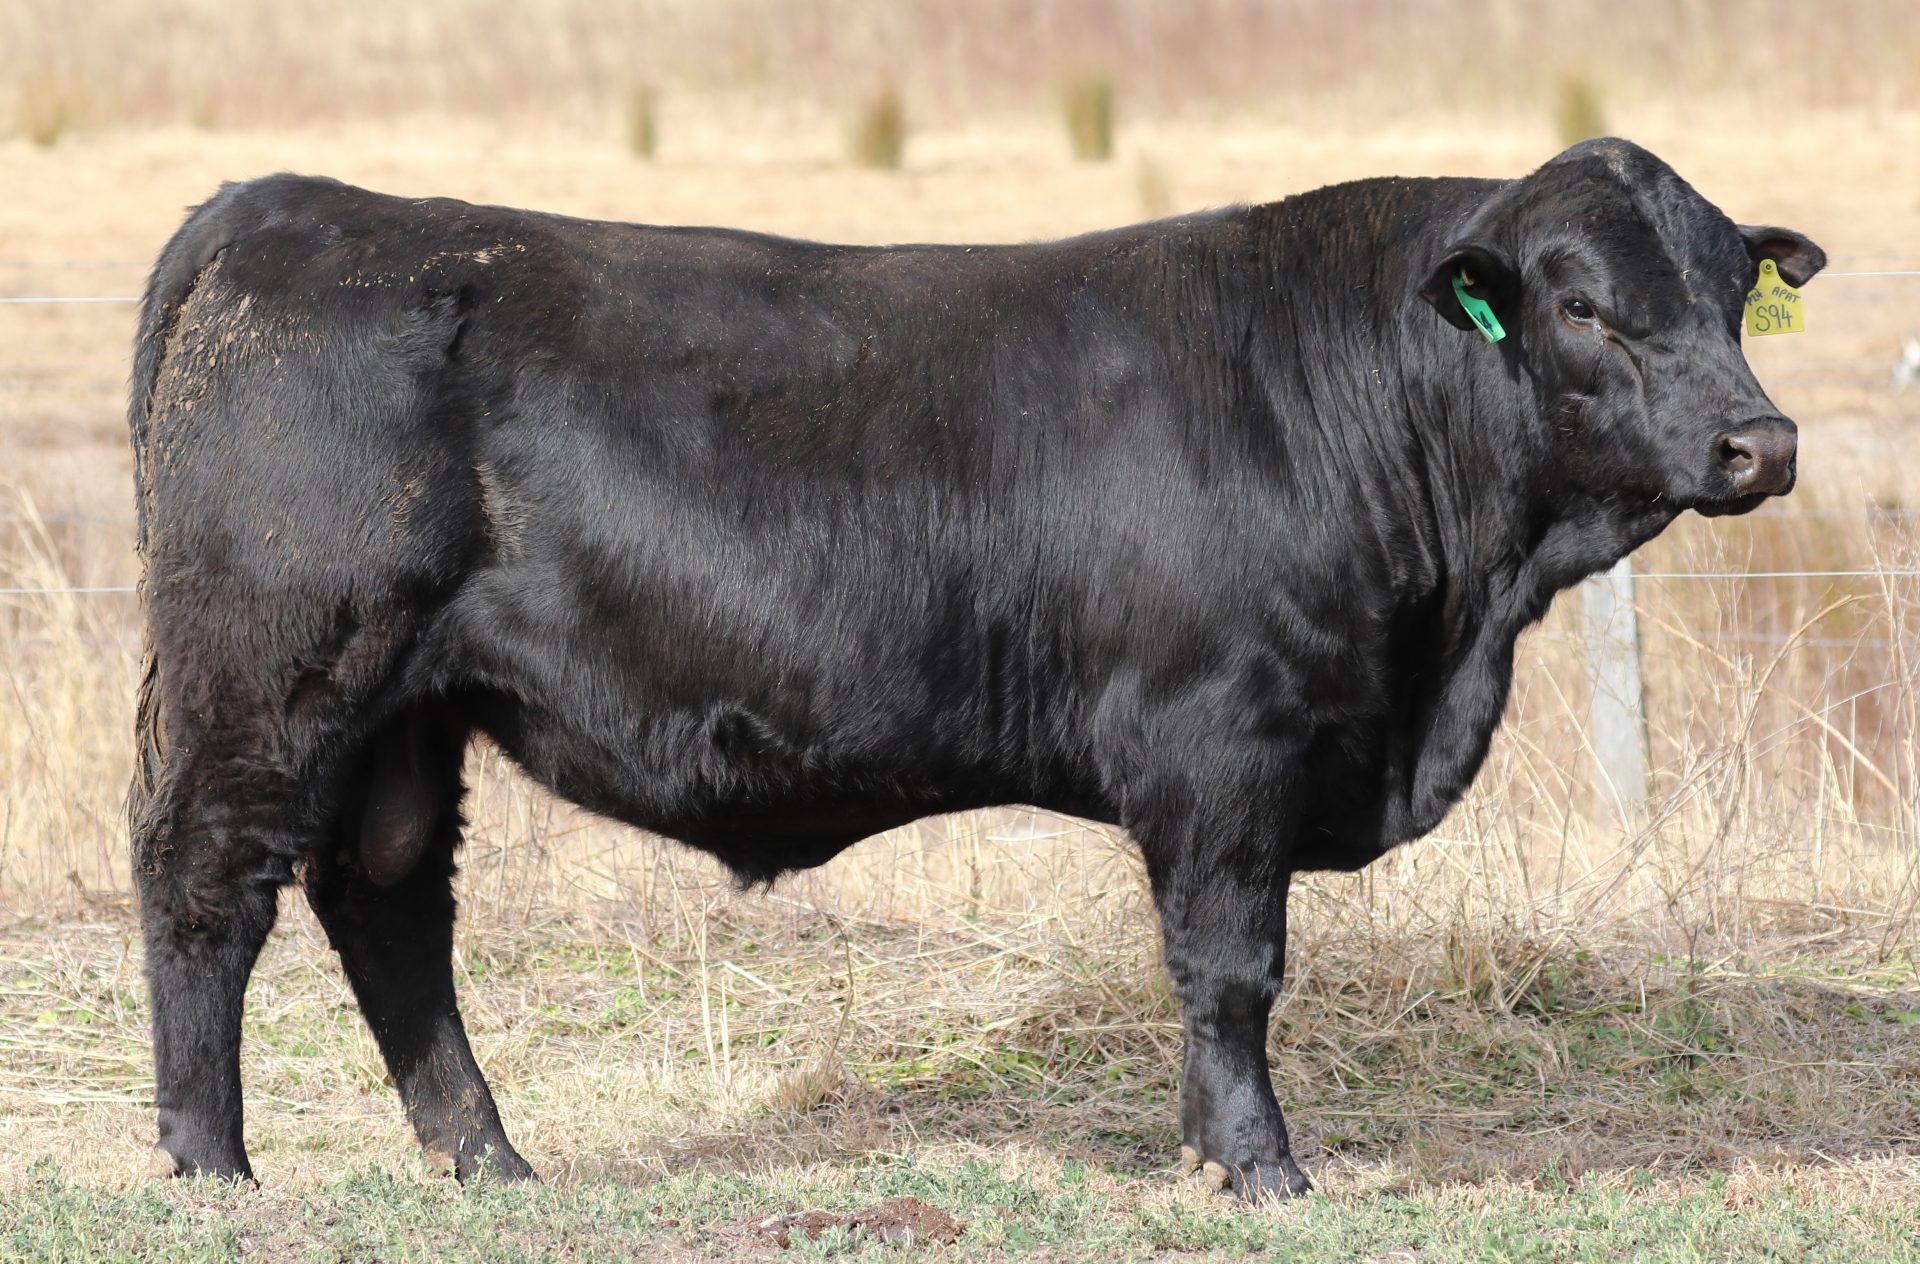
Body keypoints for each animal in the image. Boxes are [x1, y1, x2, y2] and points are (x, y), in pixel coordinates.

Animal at [125, 138, 1822, 1199]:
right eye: (1585, 307)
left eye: (1730, 294)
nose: (1764, 441)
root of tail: (293, 206)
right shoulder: (1224, 746)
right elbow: (1232, 972)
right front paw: (1257, 1167)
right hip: (270, 668)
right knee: (208, 883)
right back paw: (212, 1165)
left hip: (408, 715)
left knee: (388, 903)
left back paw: (487, 1160)